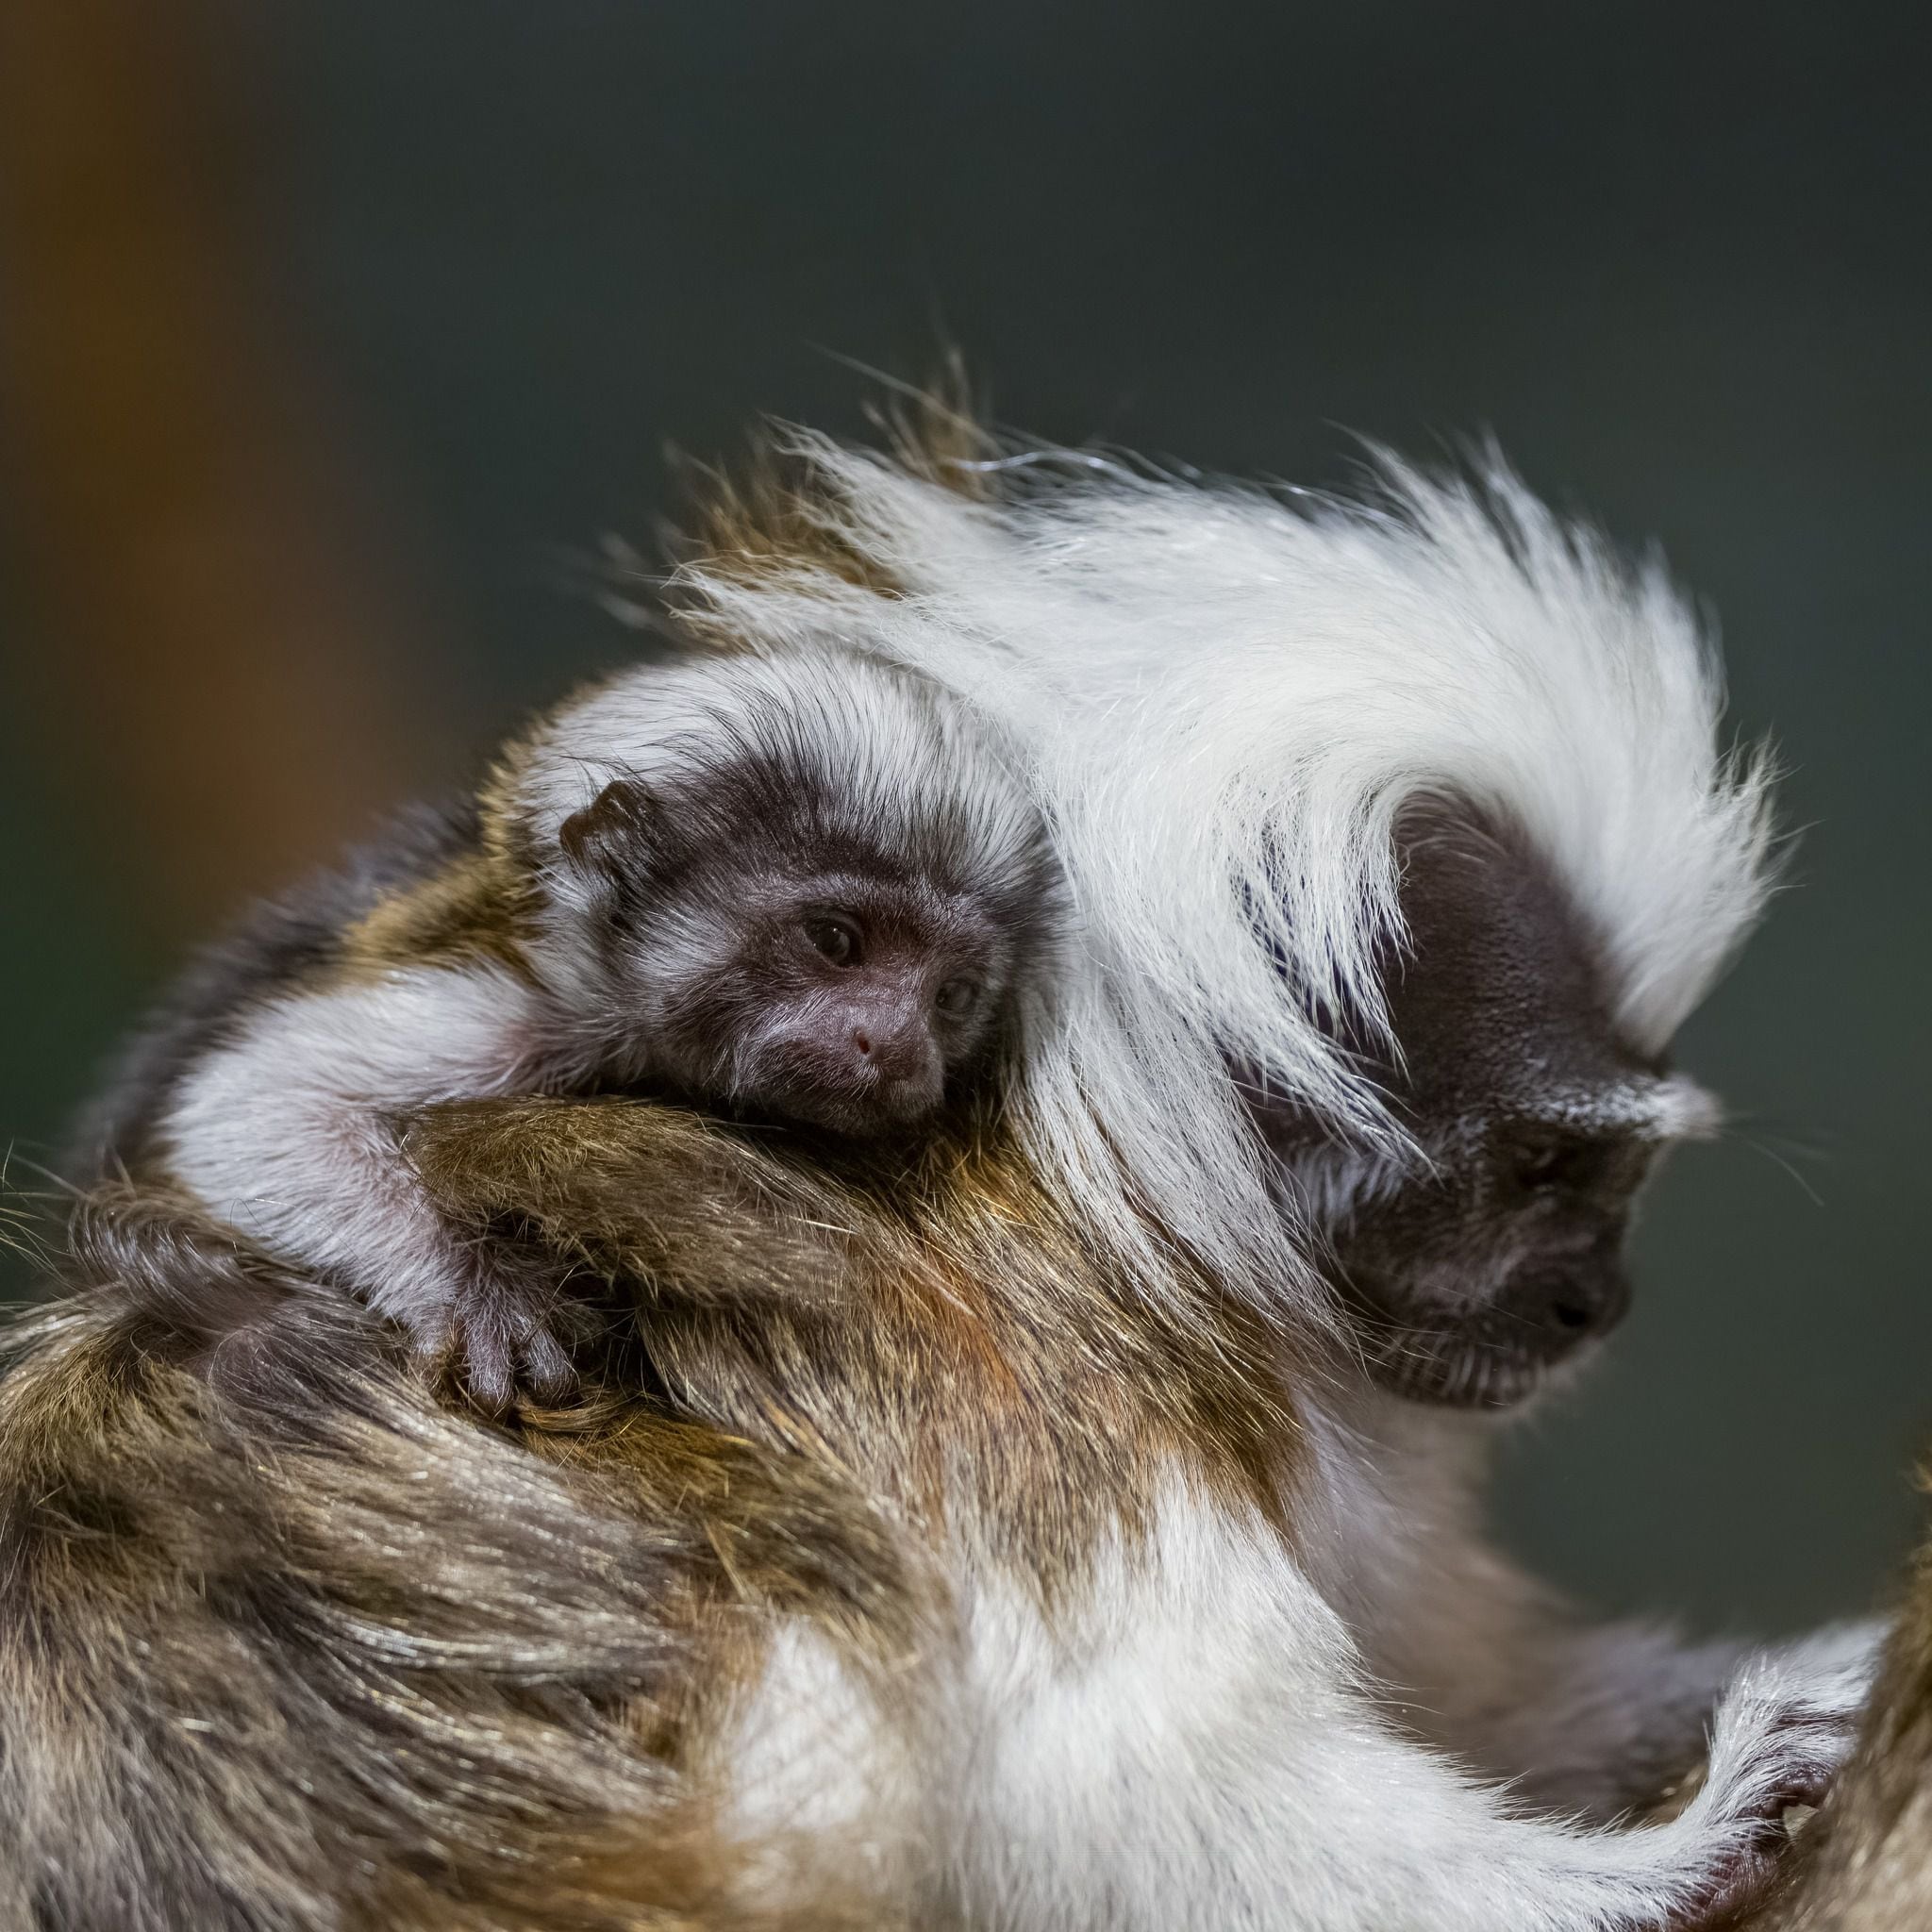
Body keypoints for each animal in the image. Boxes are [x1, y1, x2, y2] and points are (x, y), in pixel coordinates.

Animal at [76, 646, 1062, 1408]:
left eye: (951, 997)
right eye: (836, 942)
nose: (895, 1046)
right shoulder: (518, 1016)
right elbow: (250, 1106)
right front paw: (470, 1288)